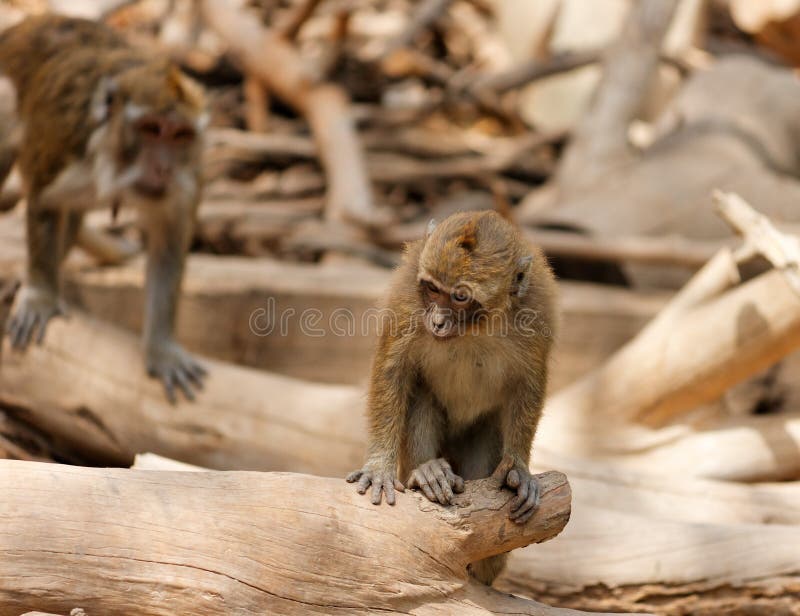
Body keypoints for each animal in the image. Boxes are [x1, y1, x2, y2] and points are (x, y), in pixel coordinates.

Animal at [0, 15, 208, 403]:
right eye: (152, 129)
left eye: (180, 135)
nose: (164, 169)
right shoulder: (63, 140)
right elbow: (45, 200)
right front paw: (41, 295)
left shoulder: (188, 178)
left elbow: (169, 242)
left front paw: (162, 348)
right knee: (7, 106)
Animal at [347, 210, 557, 585]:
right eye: (432, 289)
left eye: (460, 297)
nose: (438, 322)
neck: (474, 328)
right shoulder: (407, 300)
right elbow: (393, 371)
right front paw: (379, 467)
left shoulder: (536, 312)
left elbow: (528, 385)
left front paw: (519, 468)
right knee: (421, 396)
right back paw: (427, 472)